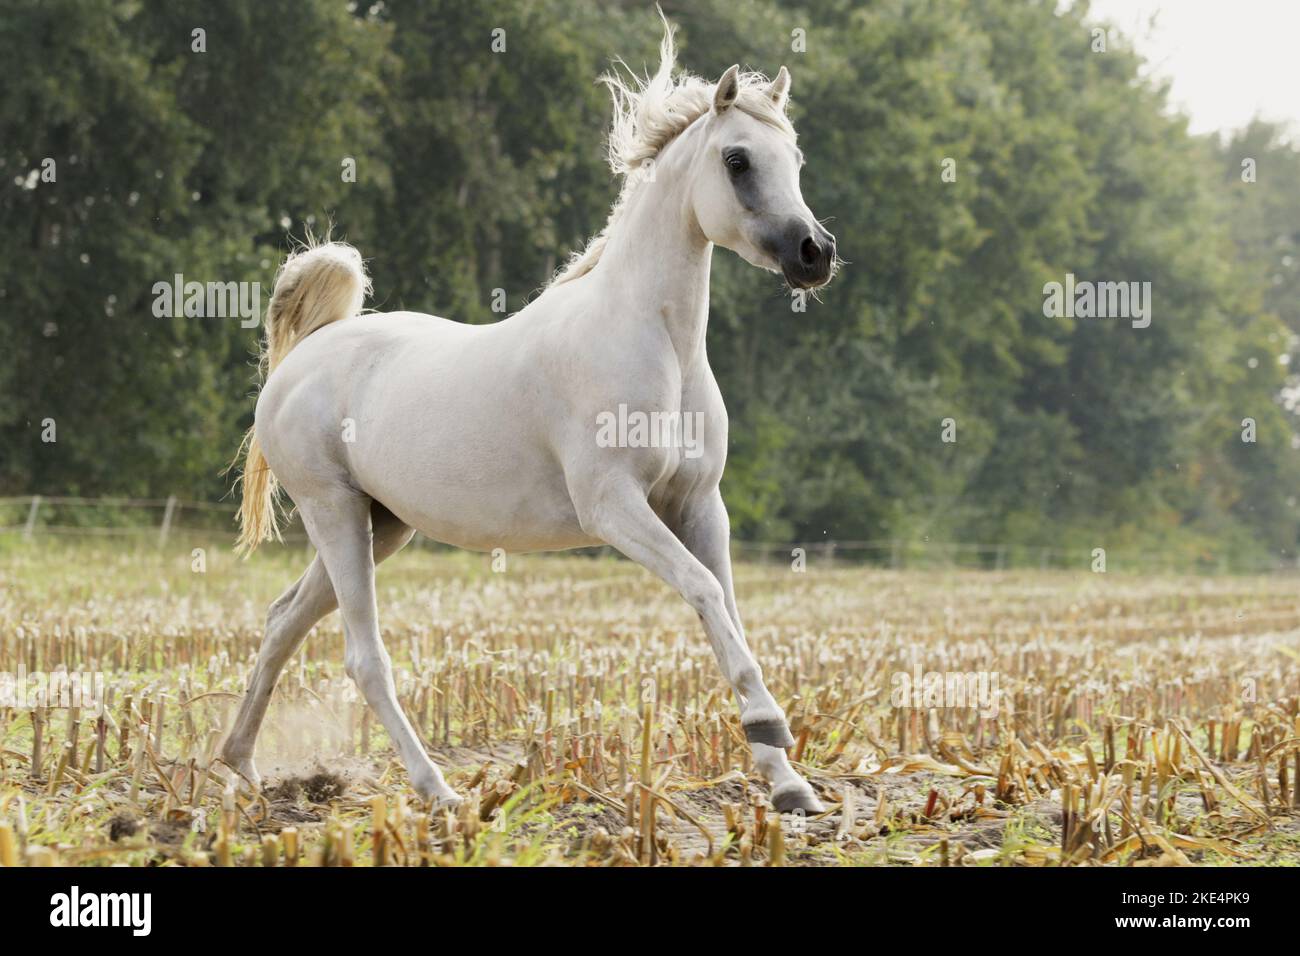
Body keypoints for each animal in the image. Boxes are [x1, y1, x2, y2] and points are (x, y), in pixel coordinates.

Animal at [221, 20, 837, 814]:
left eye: (794, 158)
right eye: (737, 159)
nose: (814, 254)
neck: (658, 347)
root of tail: (304, 357)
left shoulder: (701, 506)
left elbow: (726, 608)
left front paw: (788, 780)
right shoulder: (614, 507)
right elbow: (703, 590)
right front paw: (771, 731)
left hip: (377, 526)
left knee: (283, 620)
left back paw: (241, 765)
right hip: (334, 514)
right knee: (363, 657)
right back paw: (440, 793)